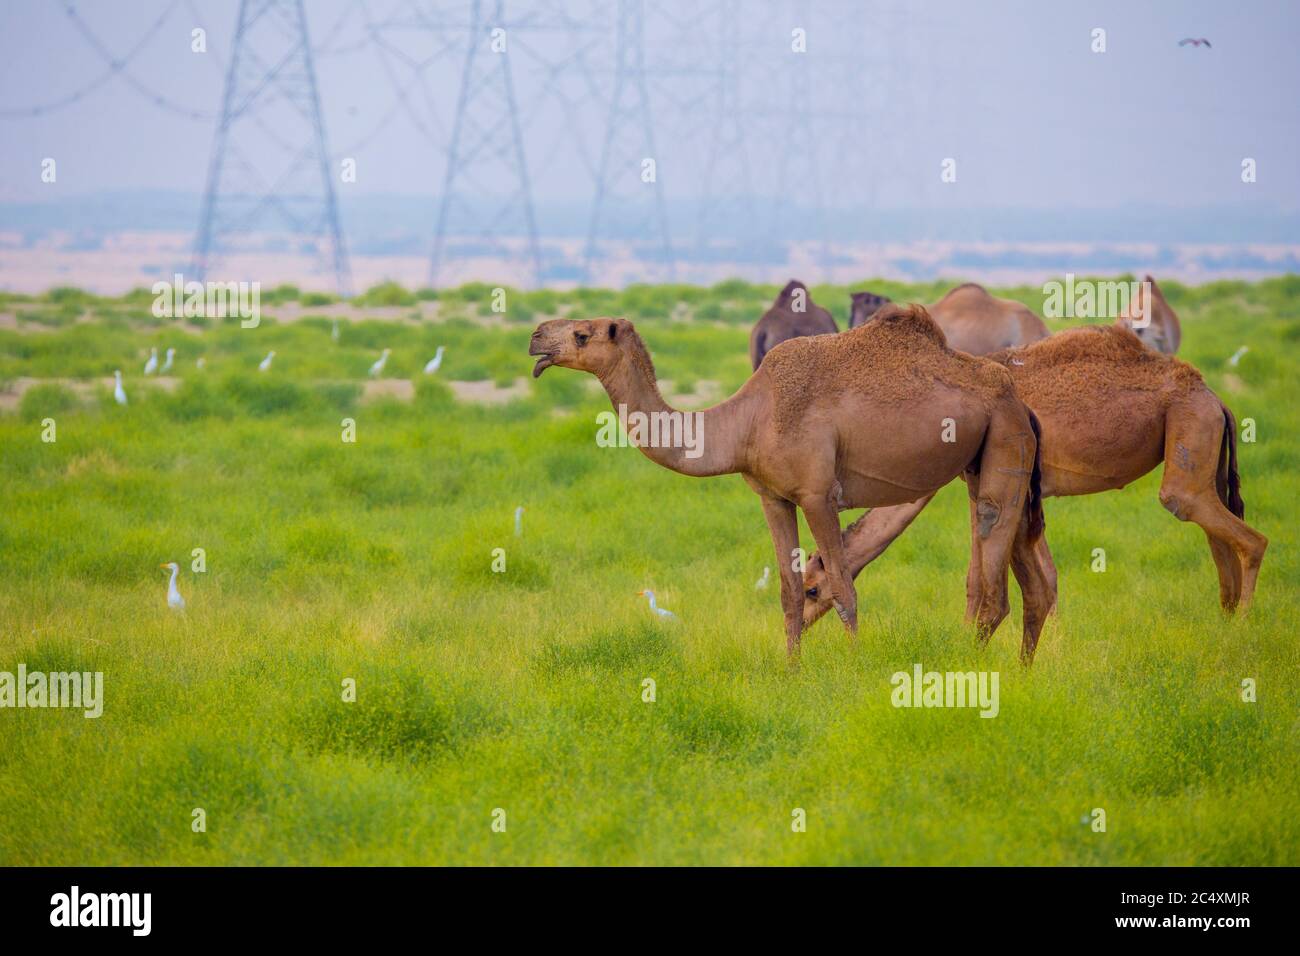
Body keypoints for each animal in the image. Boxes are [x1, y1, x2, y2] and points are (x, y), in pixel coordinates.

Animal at [530, 304, 1052, 658]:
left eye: (580, 334)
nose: (535, 337)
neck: (747, 419)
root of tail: (1020, 402)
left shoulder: (818, 495)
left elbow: (842, 588)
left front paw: (856, 666)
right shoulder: (773, 497)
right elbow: (789, 591)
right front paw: (791, 671)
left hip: (1005, 438)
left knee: (994, 559)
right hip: (983, 460)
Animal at [801, 325, 1266, 646]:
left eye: (810, 589)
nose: (799, 624)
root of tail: (1216, 399)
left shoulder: (991, 484)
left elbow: (981, 576)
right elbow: (1040, 576)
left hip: (1189, 434)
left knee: (1242, 535)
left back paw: (1243, 629)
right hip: (1201, 448)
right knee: (1219, 541)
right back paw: (1224, 624)